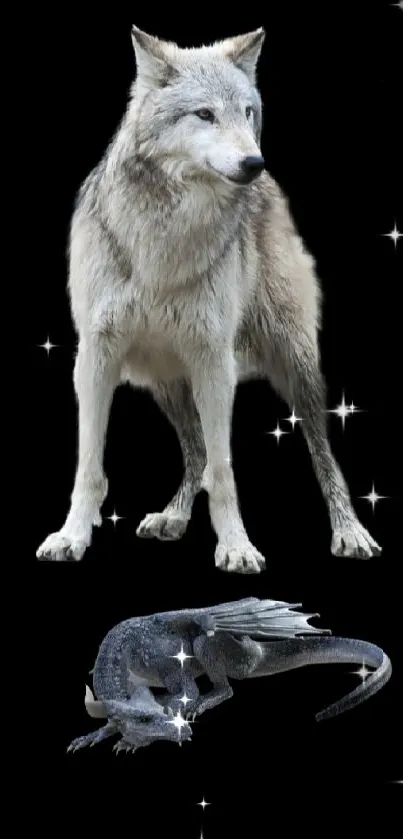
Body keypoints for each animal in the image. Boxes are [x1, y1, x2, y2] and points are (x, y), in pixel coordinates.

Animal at [37, 25, 381, 572]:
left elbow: (223, 471)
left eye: (247, 112)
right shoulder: (95, 356)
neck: (164, 242)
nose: (254, 163)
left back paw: (350, 532)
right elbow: (90, 467)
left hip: (294, 364)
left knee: (320, 451)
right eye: (204, 114)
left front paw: (237, 546)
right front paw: (71, 537)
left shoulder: (214, 360)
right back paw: (173, 517)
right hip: (165, 381)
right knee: (194, 451)